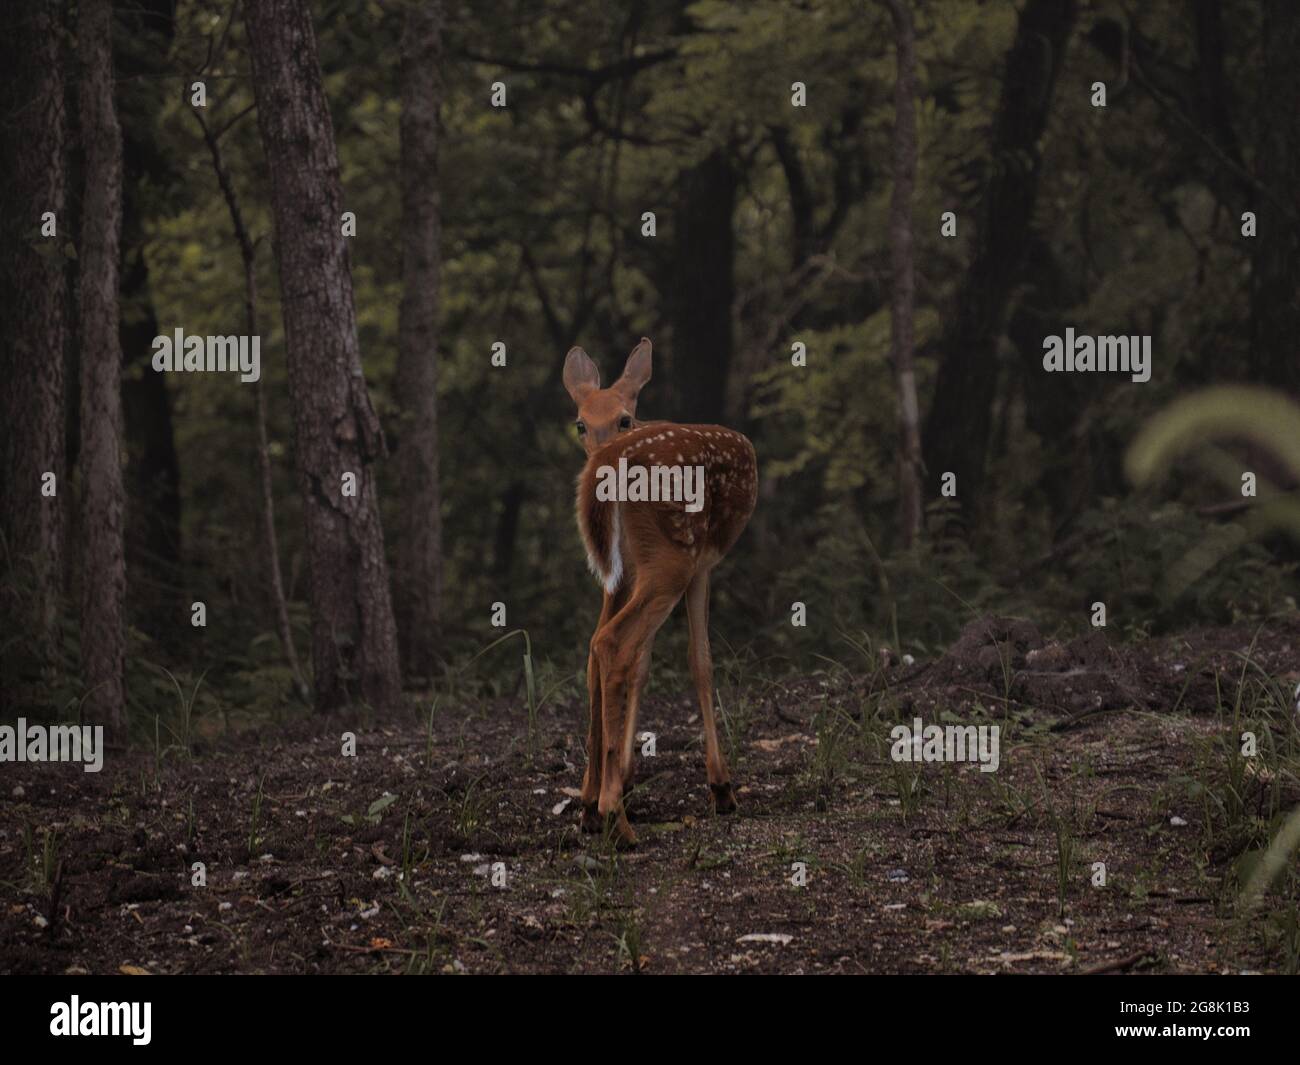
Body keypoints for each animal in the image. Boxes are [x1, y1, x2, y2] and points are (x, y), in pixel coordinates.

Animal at [563, 337, 757, 845]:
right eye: (580, 424)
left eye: (623, 419)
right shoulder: (702, 563)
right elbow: (700, 660)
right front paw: (721, 786)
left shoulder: (620, 574)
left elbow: (642, 666)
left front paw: (623, 776)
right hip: (674, 556)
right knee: (612, 643)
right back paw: (616, 818)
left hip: (633, 567)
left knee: (597, 648)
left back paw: (591, 805)